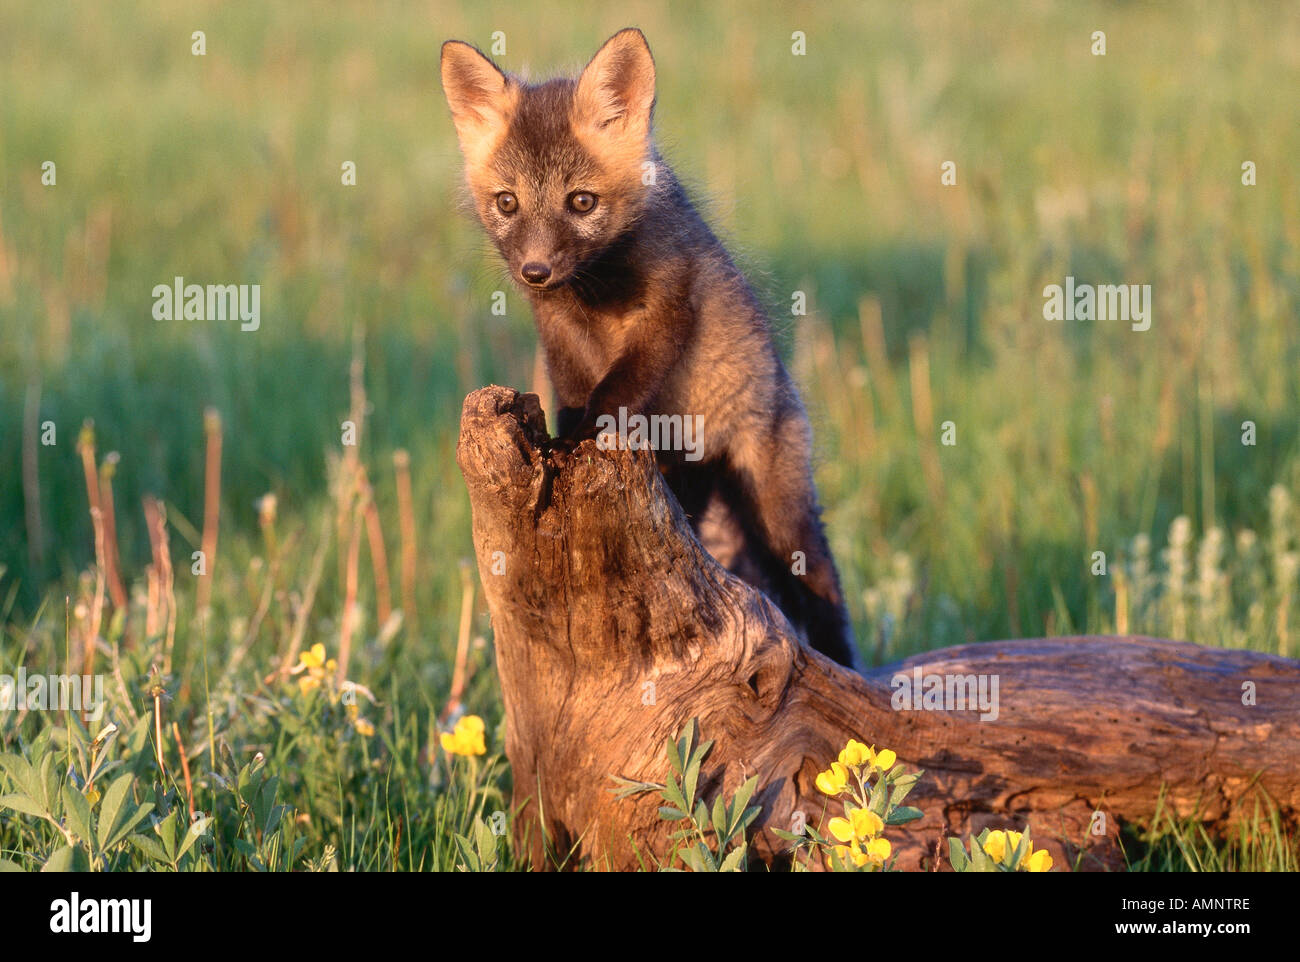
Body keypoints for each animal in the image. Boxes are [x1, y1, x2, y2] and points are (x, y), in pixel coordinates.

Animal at [440, 28, 859, 670]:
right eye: (507, 203)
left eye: (581, 202)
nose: (535, 271)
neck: (595, 292)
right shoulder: (557, 331)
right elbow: (573, 391)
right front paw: (560, 441)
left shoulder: (666, 312)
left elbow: (617, 389)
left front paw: (579, 441)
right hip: (690, 485)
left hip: (780, 517)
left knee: (825, 594)